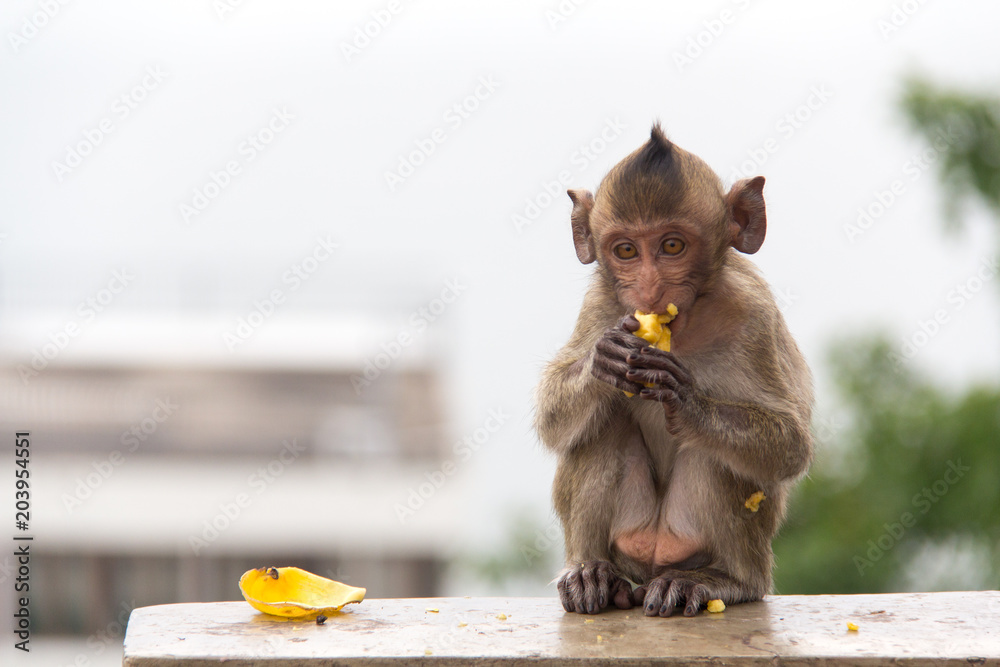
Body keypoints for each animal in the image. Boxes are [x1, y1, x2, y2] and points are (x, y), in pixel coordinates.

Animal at [534, 123, 813, 617]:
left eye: (672, 246)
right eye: (626, 250)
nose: (649, 289)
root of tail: (653, 562)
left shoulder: (754, 316)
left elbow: (790, 445)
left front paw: (685, 401)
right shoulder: (601, 306)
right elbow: (553, 418)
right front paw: (602, 362)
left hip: (693, 538)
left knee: (716, 454)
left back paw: (725, 579)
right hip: (632, 536)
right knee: (599, 427)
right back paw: (591, 572)